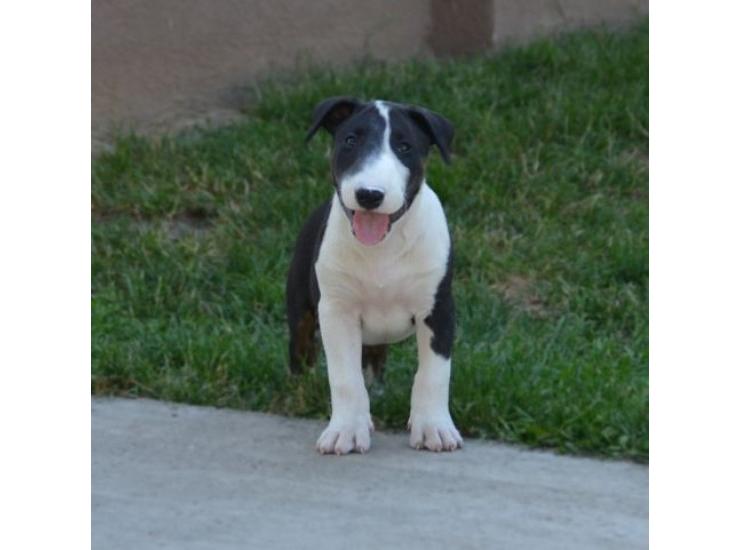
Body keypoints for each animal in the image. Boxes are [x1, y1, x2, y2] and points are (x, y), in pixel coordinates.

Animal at [284, 97, 462, 454]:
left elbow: (434, 374)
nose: (369, 194)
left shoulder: (438, 309)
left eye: (405, 147)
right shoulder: (336, 311)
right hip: (300, 306)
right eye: (351, 140)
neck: (383, 248)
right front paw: (346, 431)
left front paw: (433, 429)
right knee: (301, 348)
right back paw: (302, 386)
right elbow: (344, 378)